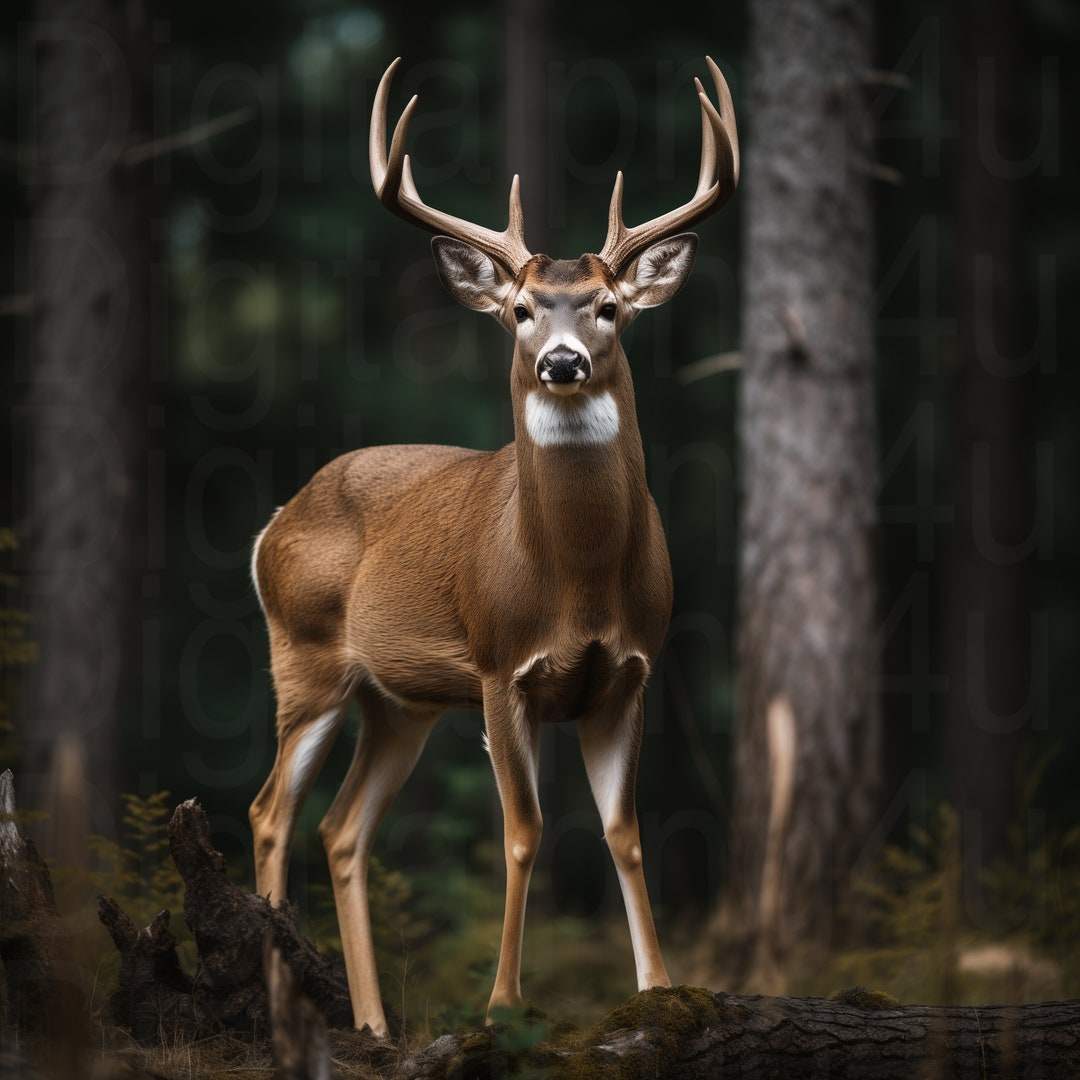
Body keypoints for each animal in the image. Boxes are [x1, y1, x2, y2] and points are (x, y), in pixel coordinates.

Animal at [248, 56, 738, 1037]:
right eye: (518, 310)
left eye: (609, 308)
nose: (561, 362)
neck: (579, 582)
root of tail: (275, 520)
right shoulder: (499, 665)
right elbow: (524, 830)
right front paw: (505, 1002)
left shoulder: (628, 673)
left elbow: (624, 833)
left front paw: (660, 988)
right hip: (306, 657)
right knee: (271, 811)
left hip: (398, 701)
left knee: (341, 828)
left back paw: (373, 1024)